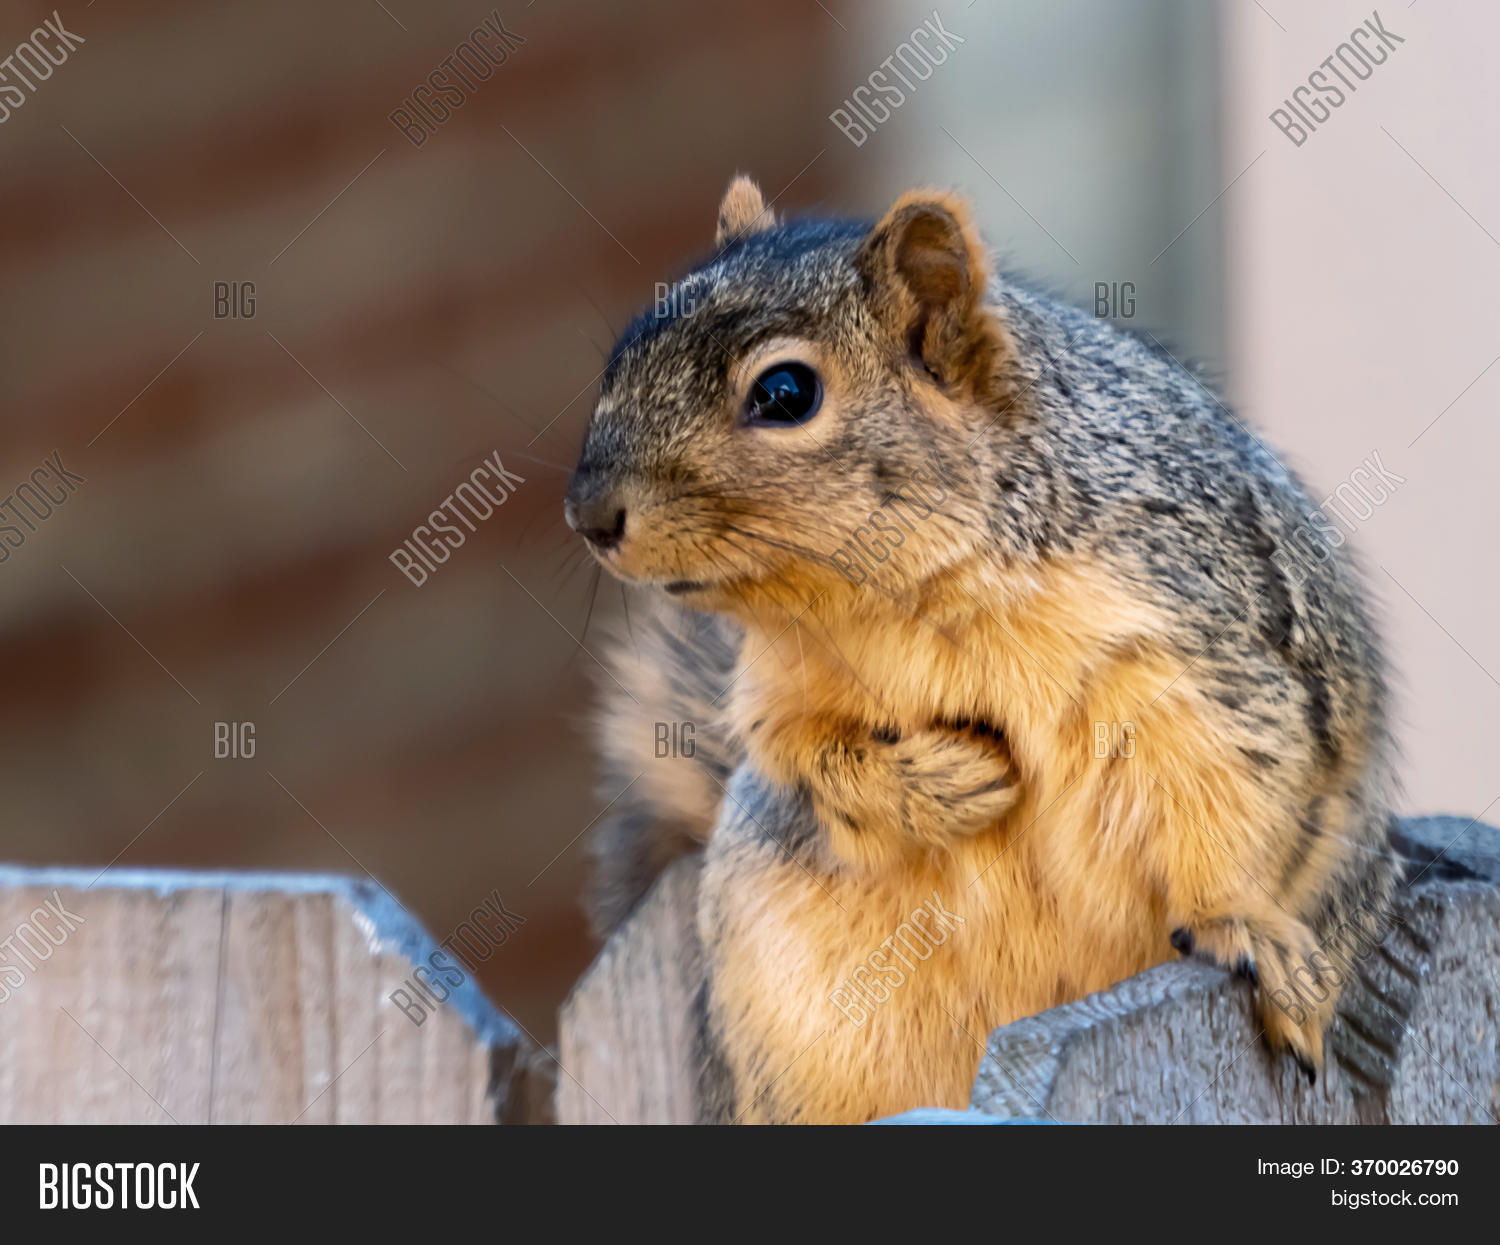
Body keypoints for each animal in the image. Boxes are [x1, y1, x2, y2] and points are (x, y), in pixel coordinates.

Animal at [564, 175, 1400, 1123]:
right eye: (621, 359)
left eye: (784, 392)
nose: (589, 513)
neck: (898, 606)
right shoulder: (785, 686)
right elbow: (808, 757)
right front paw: (939, 782)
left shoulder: (1194, 646)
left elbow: (1231, 789)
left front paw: (1242, 923)